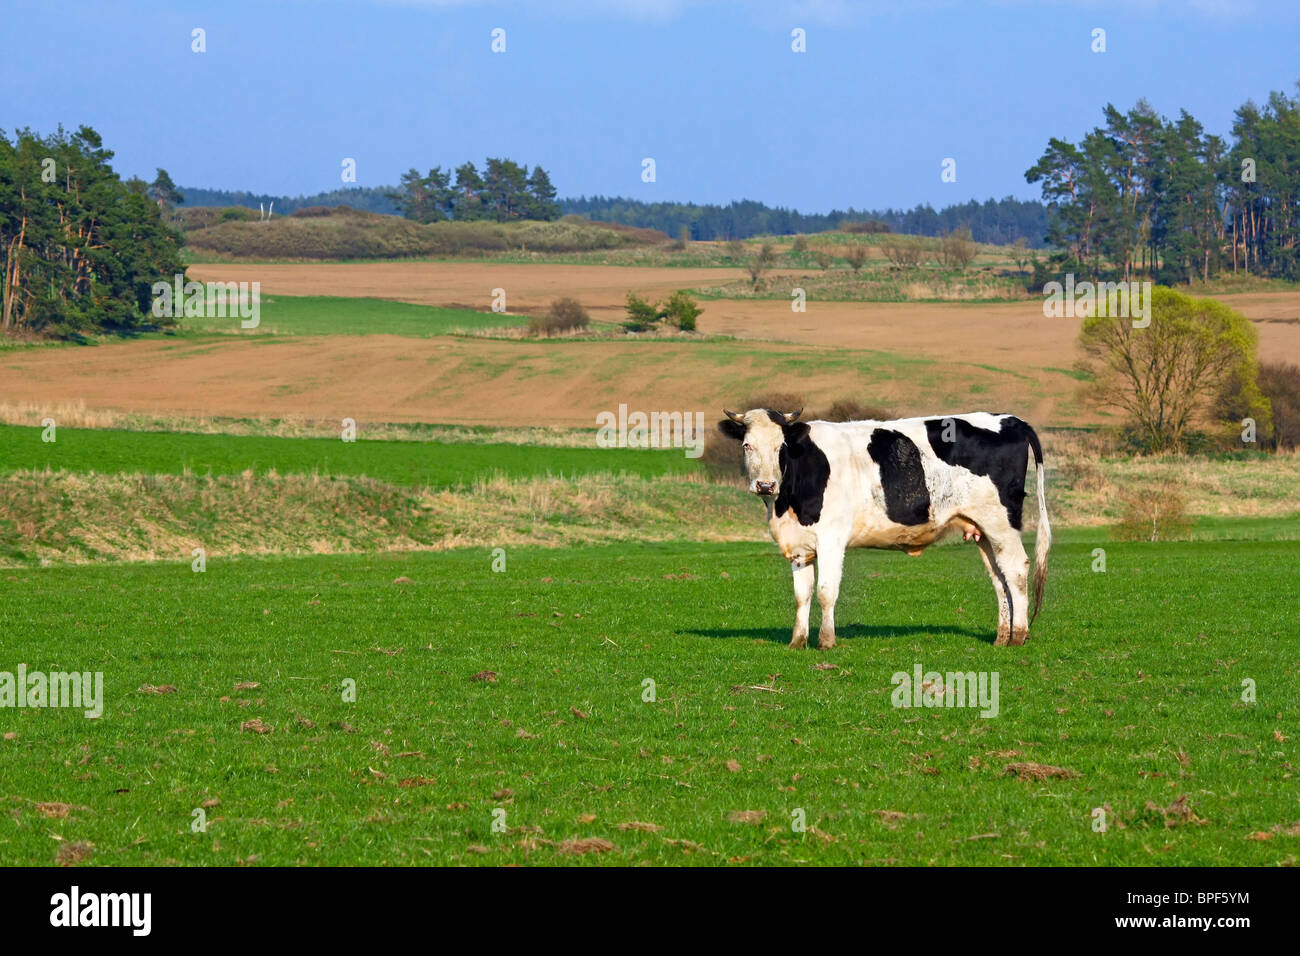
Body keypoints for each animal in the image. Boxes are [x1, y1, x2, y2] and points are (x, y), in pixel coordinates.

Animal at [717, 408, 1051, 649]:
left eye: (781, 446)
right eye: (747, 445)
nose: (765, 485)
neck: (785, 503)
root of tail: (1011, 419)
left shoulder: (831, 539)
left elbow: (826, 592)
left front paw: (826, 641)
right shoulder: (799, 546)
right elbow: (802, 594)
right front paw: (797, 642)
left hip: (1001, 523)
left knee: (1016, 570)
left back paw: (1018, 636)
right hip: (982, 530)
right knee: (999, 577)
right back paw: (1001, 638)